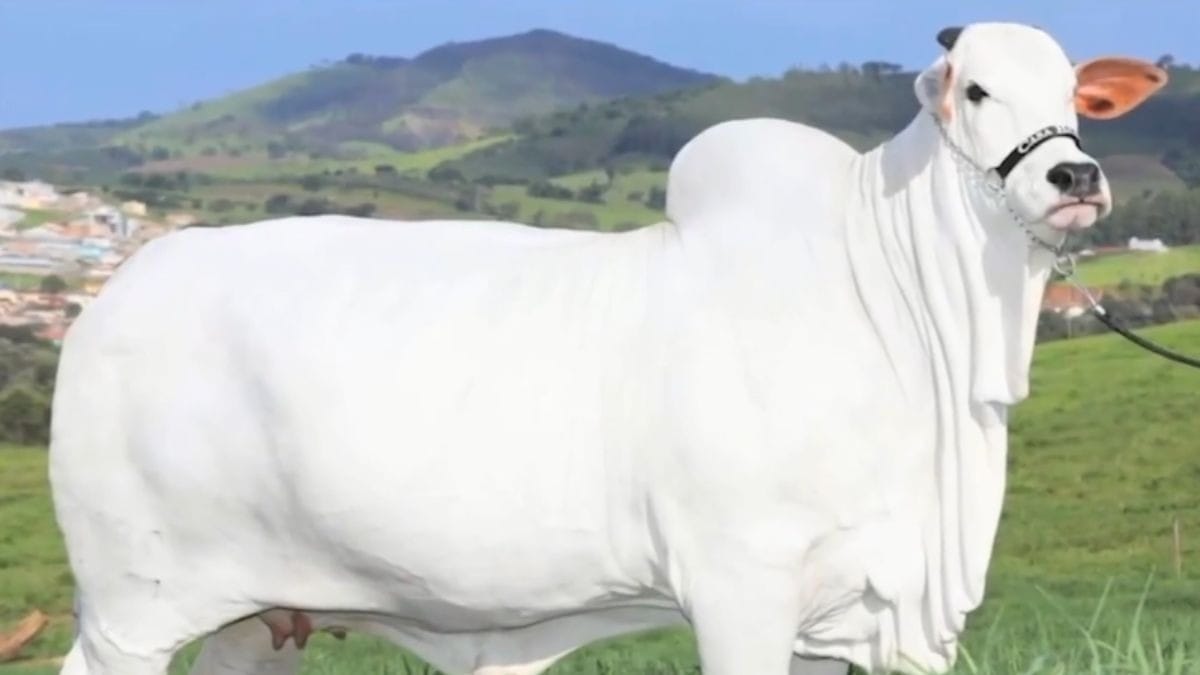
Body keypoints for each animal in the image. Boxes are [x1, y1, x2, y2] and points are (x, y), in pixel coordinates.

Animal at [49, 21, 1165, 675]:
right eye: (974, 91)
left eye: (1076, 94)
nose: (1075, 178)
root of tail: (117, 293)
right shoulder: (741, 589)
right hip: (132, 609)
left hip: (259, 615)